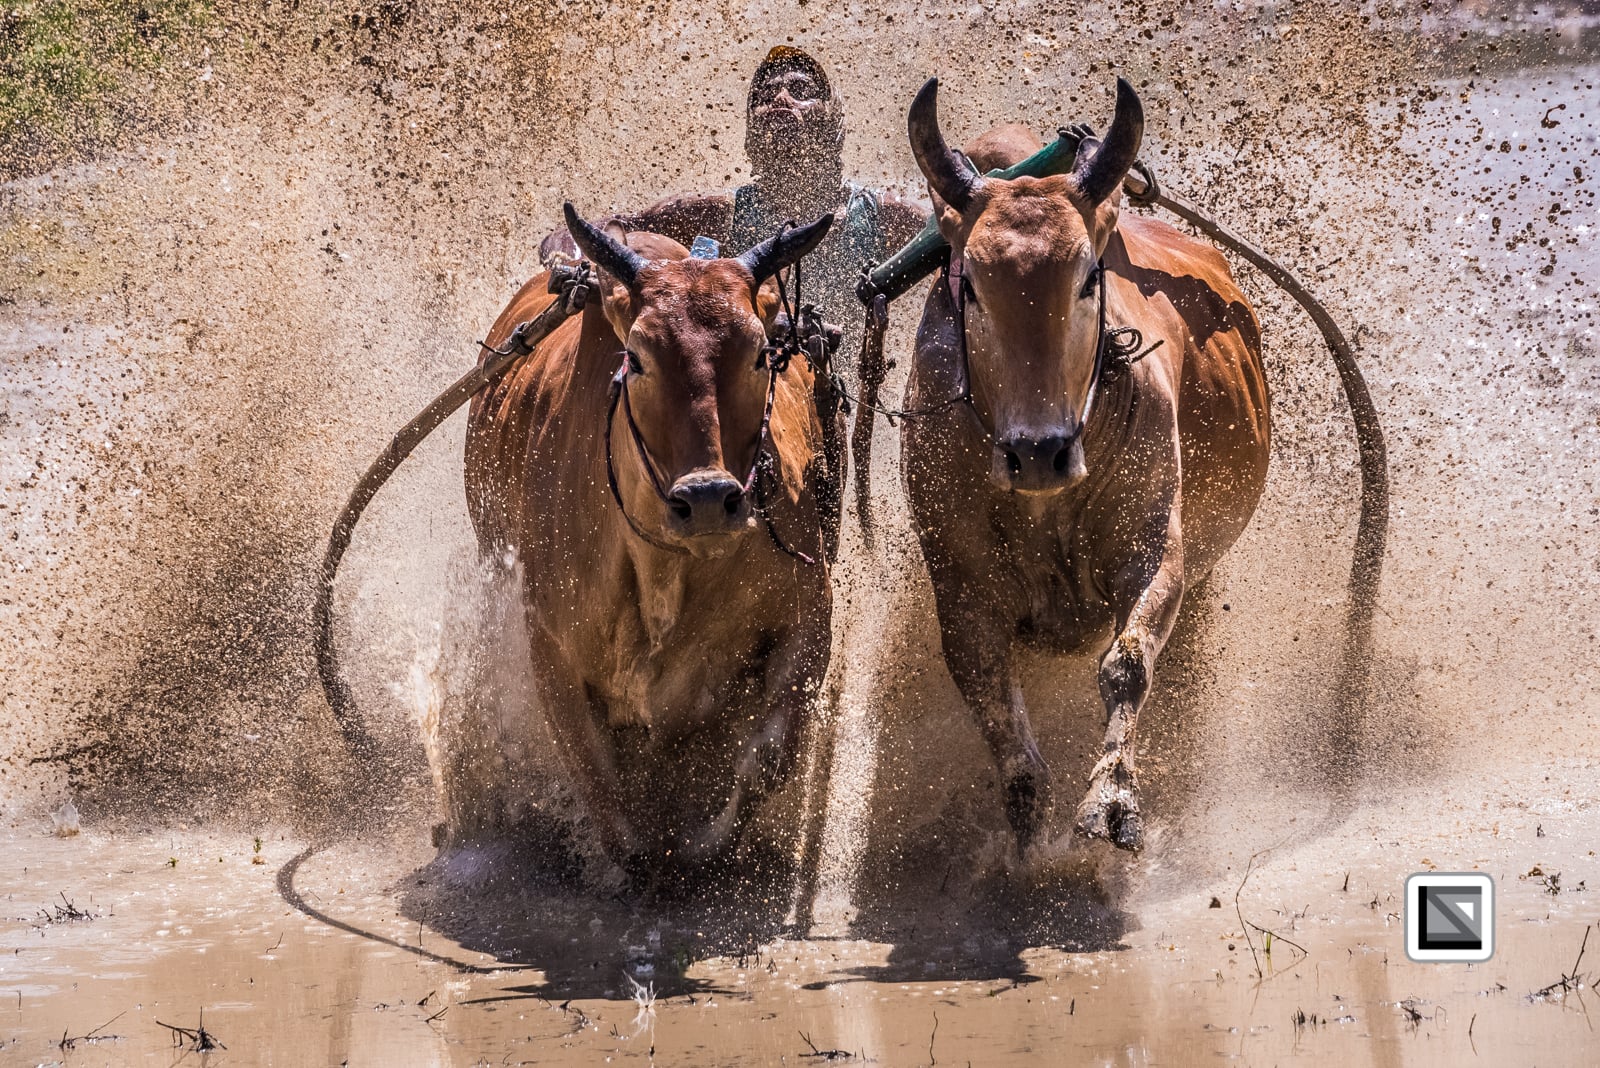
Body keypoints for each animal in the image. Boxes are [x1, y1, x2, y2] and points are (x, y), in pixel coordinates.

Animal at [462, 207, 838, 874]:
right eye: (636, 358)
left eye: (761, 353)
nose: (710, 496)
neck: (666, 569)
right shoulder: (548, 644)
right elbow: (598, 781)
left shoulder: (810, 612)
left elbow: (767, 759)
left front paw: (705, 845)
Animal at [898, 78, 1271, 853]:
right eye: (971, 285)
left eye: (1087, 277)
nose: (1038, 451)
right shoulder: (958, 585)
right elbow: (991, 696)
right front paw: (1029, 826)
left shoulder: (1155, 548)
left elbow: (1126, 665)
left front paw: (1113, 799)